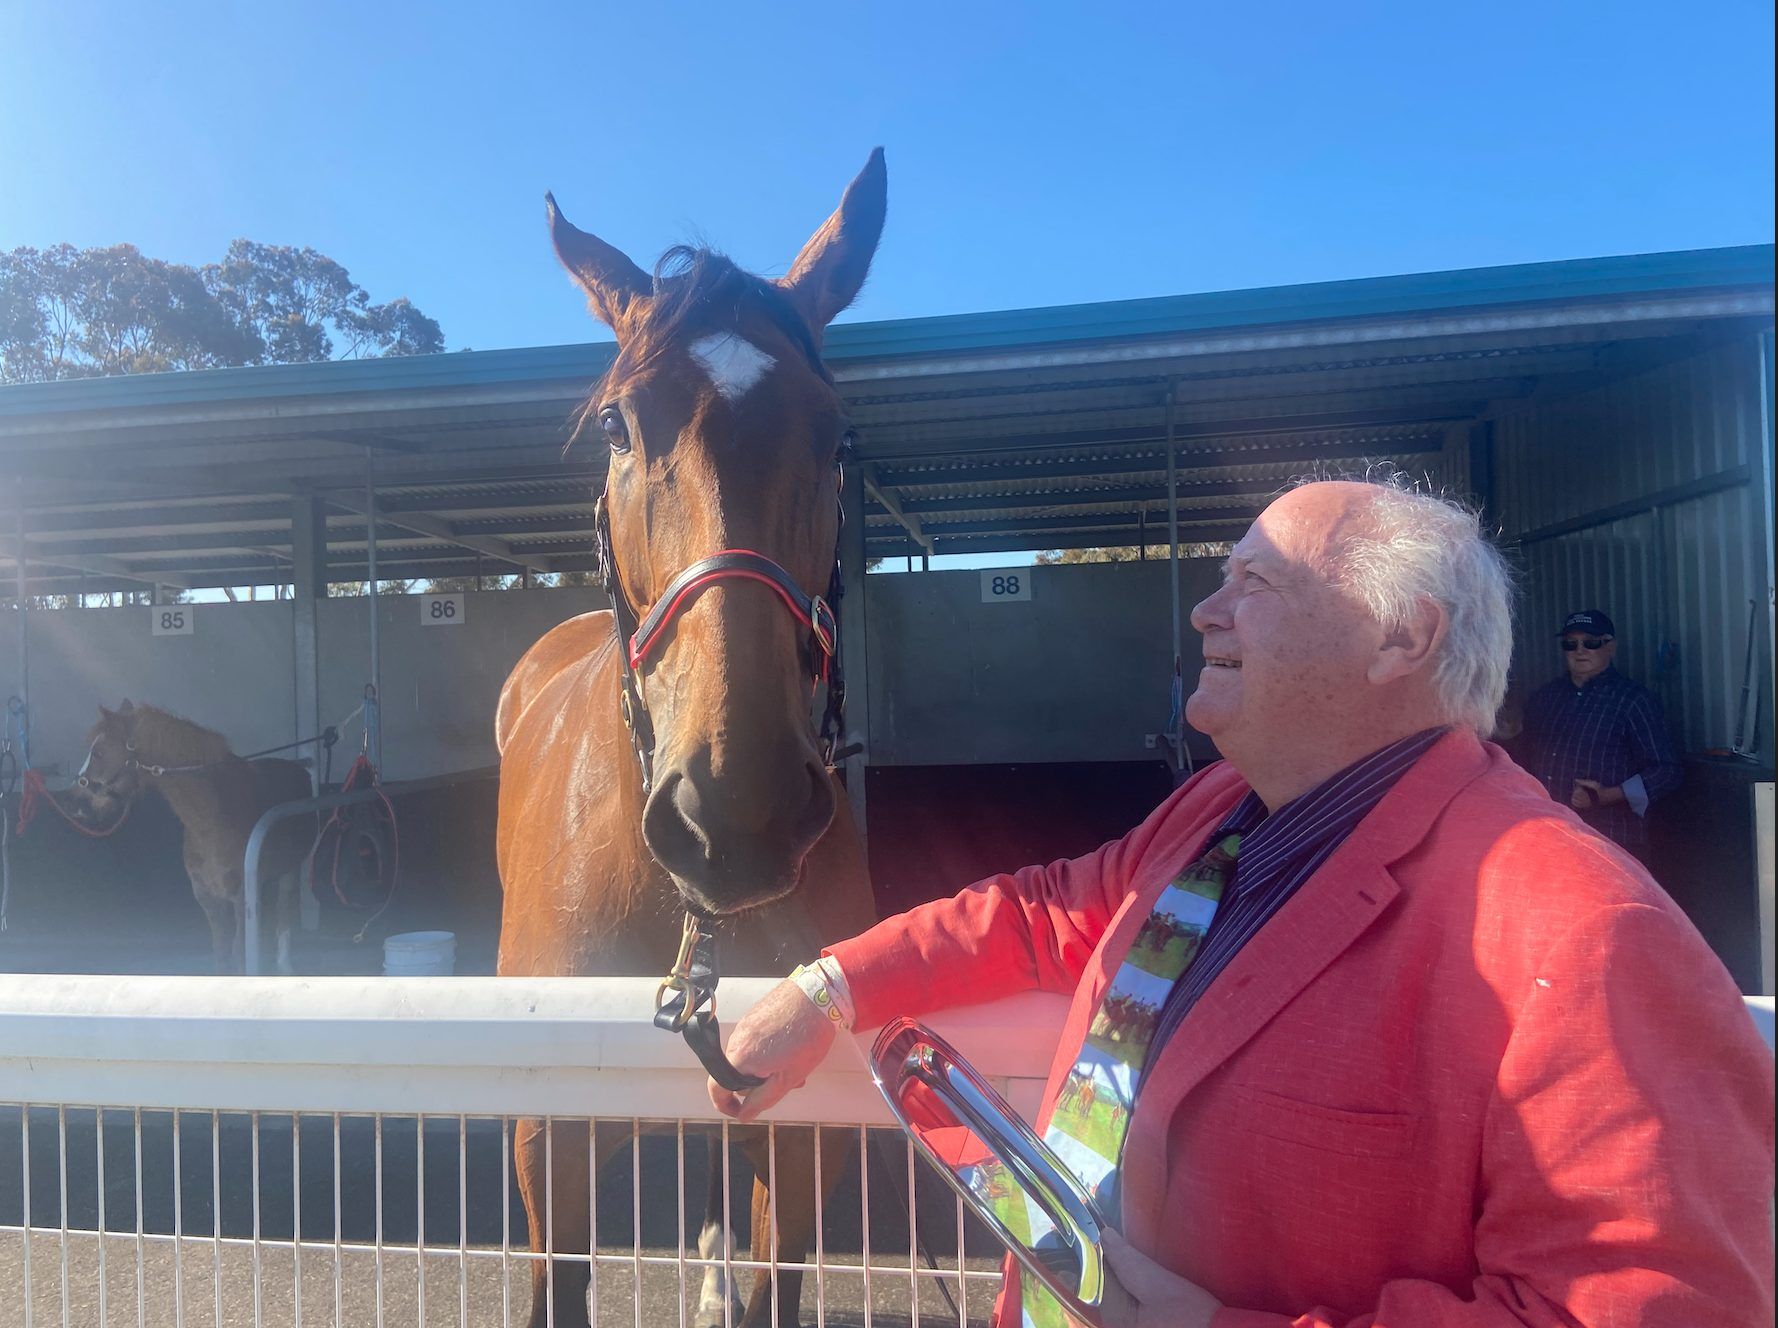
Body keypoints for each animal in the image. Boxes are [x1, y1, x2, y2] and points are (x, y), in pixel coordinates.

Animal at [60, 700, 316, 974]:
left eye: (98, 752)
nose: (71, 802)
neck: (213, 820)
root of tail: (298, 768)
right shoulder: (208, 899)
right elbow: (222, 953)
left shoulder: (240, 897)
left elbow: (240, 955)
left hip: (290, 872)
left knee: (284, 913)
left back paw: (285, 966)